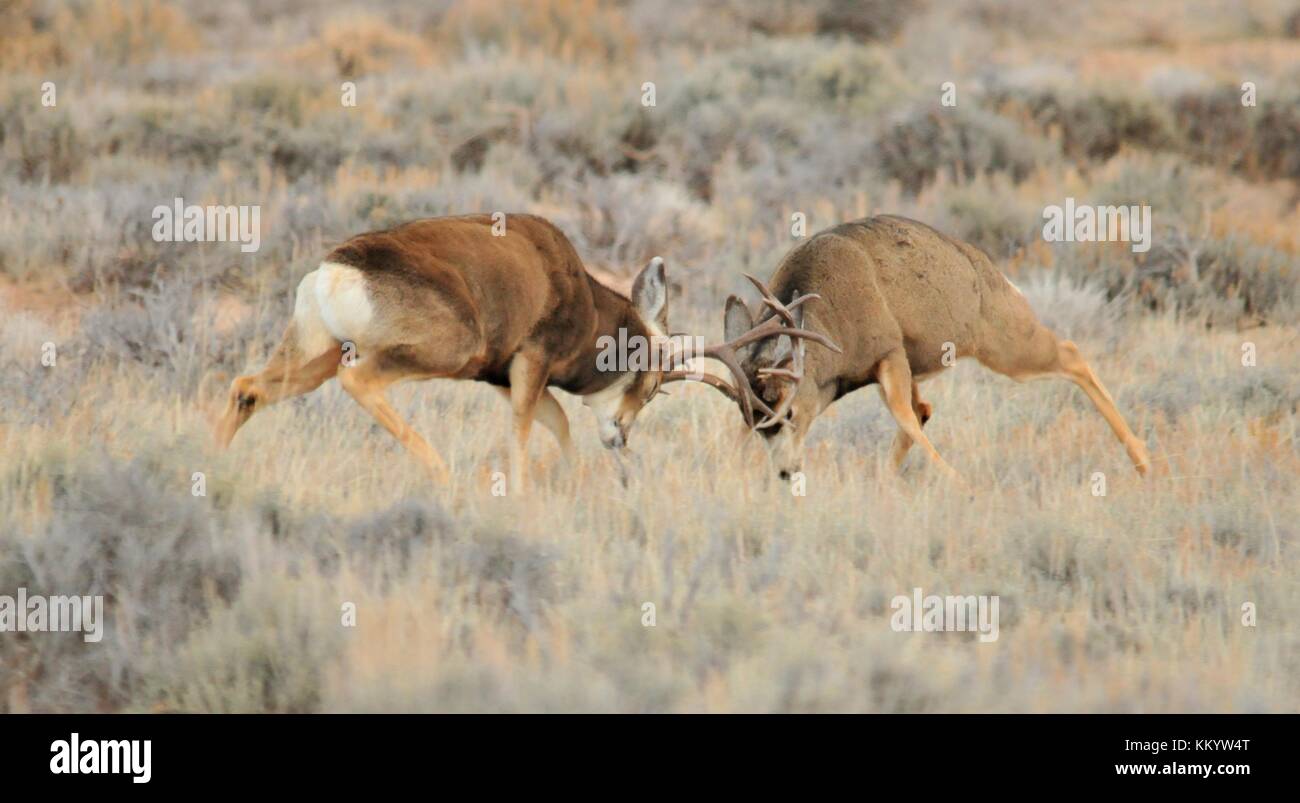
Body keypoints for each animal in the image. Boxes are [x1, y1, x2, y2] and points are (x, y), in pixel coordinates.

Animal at [213, 213, 809, 490]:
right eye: (652, 386)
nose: (620, 438)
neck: (571, 284)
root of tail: (339, 268)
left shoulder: (502, 376)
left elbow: (556, 423)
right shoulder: (530, 362)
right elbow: (524, 430)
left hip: (313, 355)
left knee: (247, 388)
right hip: (435, 350)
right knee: (357, 381)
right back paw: (440, 472)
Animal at [663, 215, 1152, 482]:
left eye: (790, 414)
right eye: (755, 423)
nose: (786, 473)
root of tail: (985, 264)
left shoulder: (890, 352)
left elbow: (906, 416)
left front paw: (963, 484)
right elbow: (916, 415)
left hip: (1003, 340)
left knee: (1071, 353)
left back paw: (1147, 462)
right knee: (927, 409)